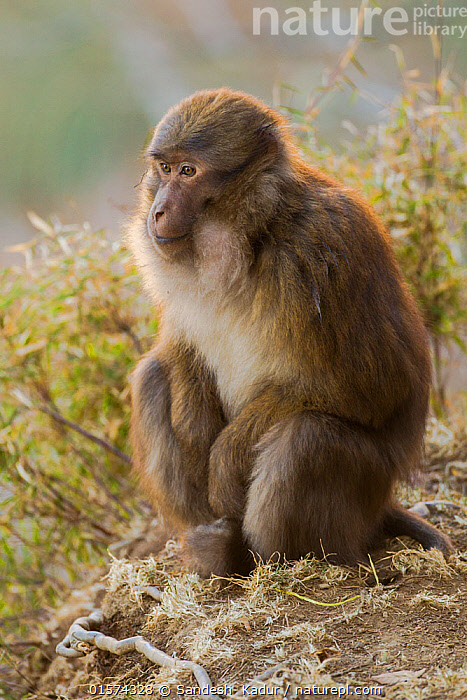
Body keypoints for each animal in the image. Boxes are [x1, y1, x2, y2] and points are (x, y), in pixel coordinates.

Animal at [126, 87, 453, 577]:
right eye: (164, 168)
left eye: (189, 172)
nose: (159, 209)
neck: (254, 236)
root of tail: (383, 507)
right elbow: (177, 347)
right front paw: (193, 422)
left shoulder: (321, 251)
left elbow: (375, 388)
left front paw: (224, 460)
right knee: (152, 379)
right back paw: (213, 543)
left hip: (365, 495)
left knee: (306, 438)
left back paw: (277, 559)